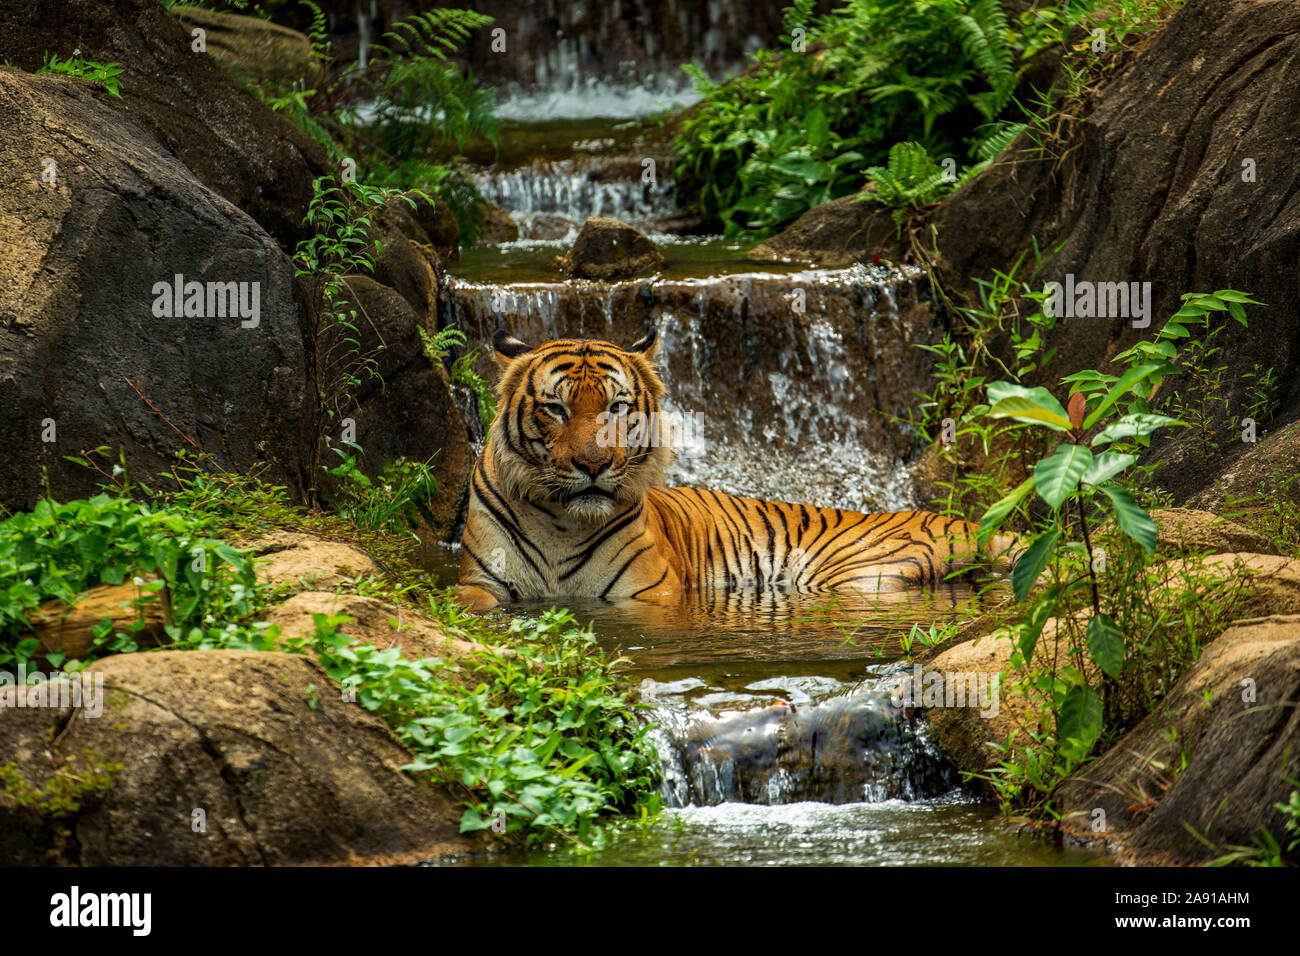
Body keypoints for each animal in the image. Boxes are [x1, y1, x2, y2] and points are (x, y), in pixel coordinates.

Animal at [455, 329, 1012, 611]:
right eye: (556, 409)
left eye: (616, 408)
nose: (594, 464)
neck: (561, 523)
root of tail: (969, 521)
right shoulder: (478, 583)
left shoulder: (649, 591)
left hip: (858, 573)